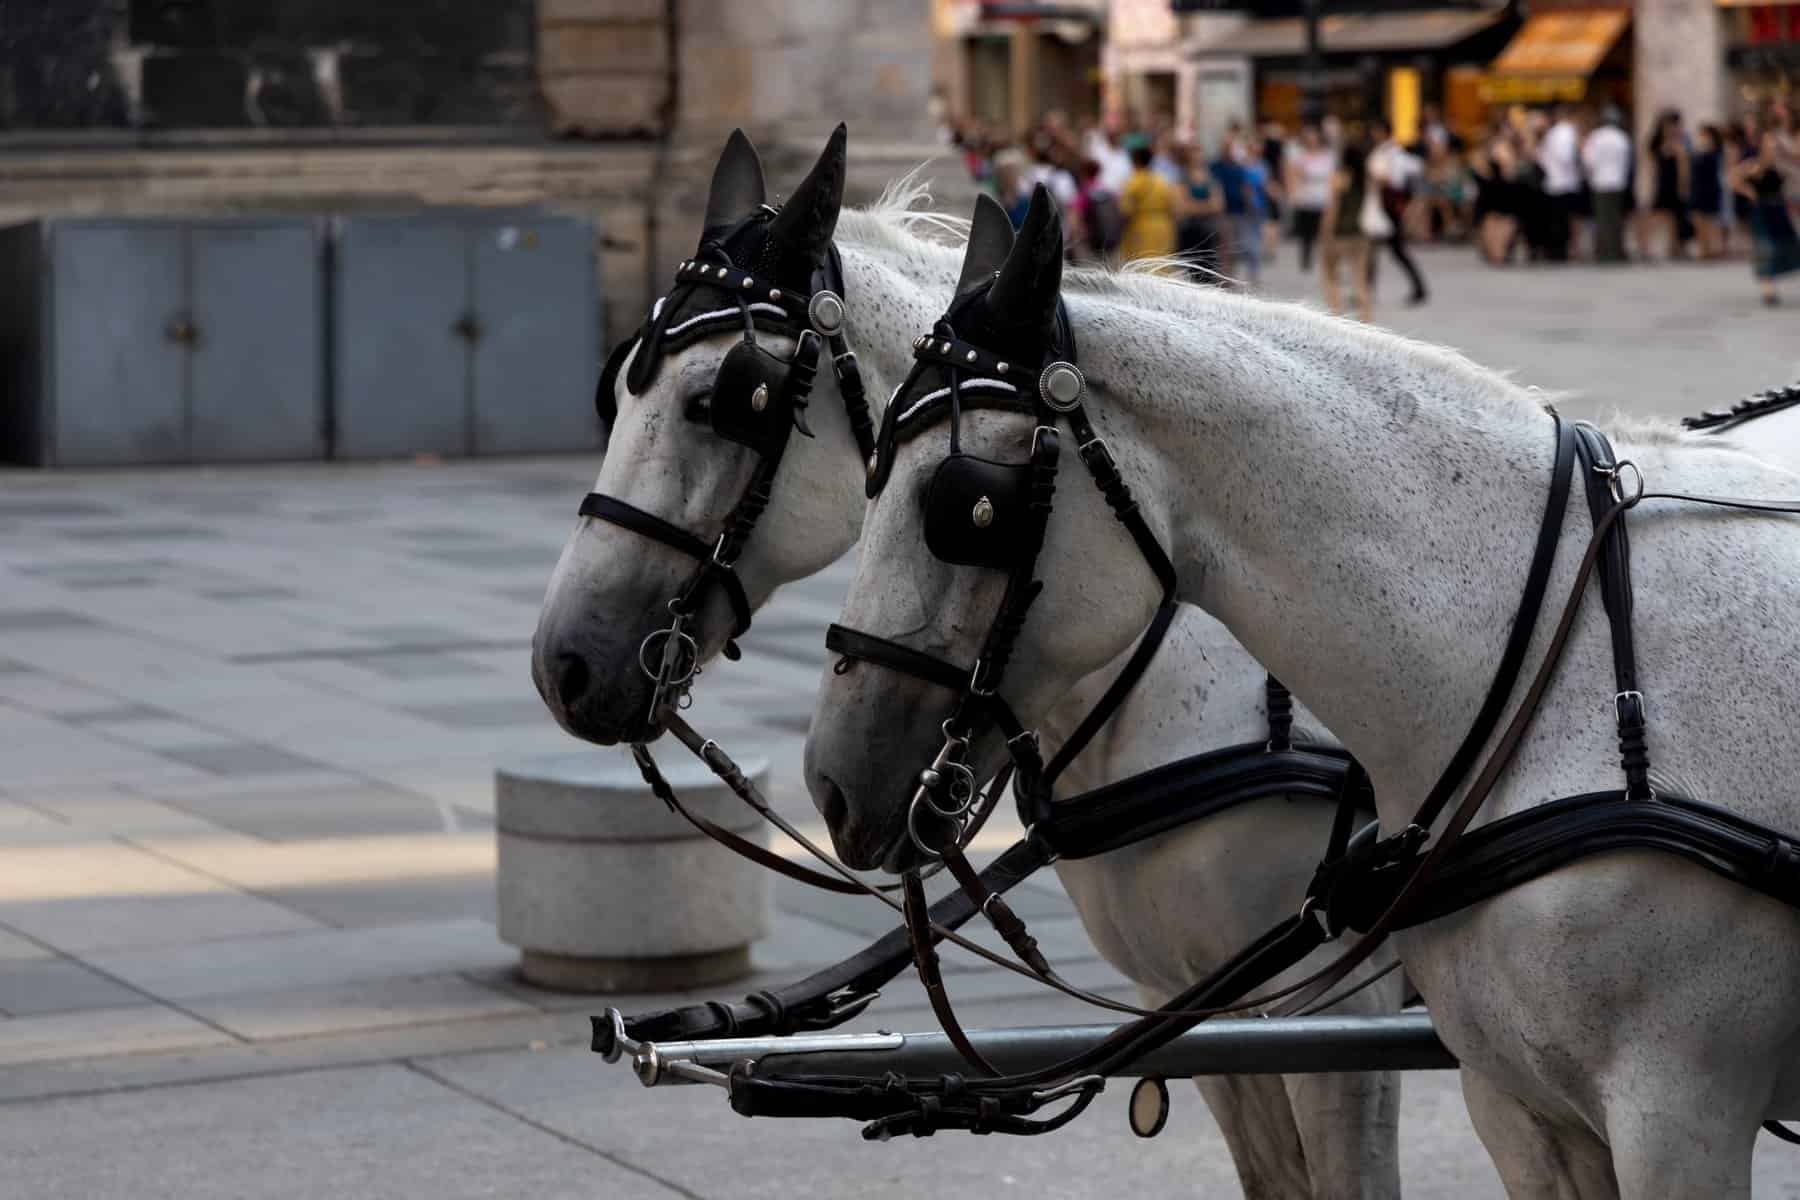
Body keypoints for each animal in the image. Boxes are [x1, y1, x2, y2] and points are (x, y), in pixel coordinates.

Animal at [803, 183, 1800, 1197]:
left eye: (969, 509)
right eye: (872, 472)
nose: (831, 784)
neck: (1559, 675)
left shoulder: (1664, 1112)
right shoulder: (1503, 1100)